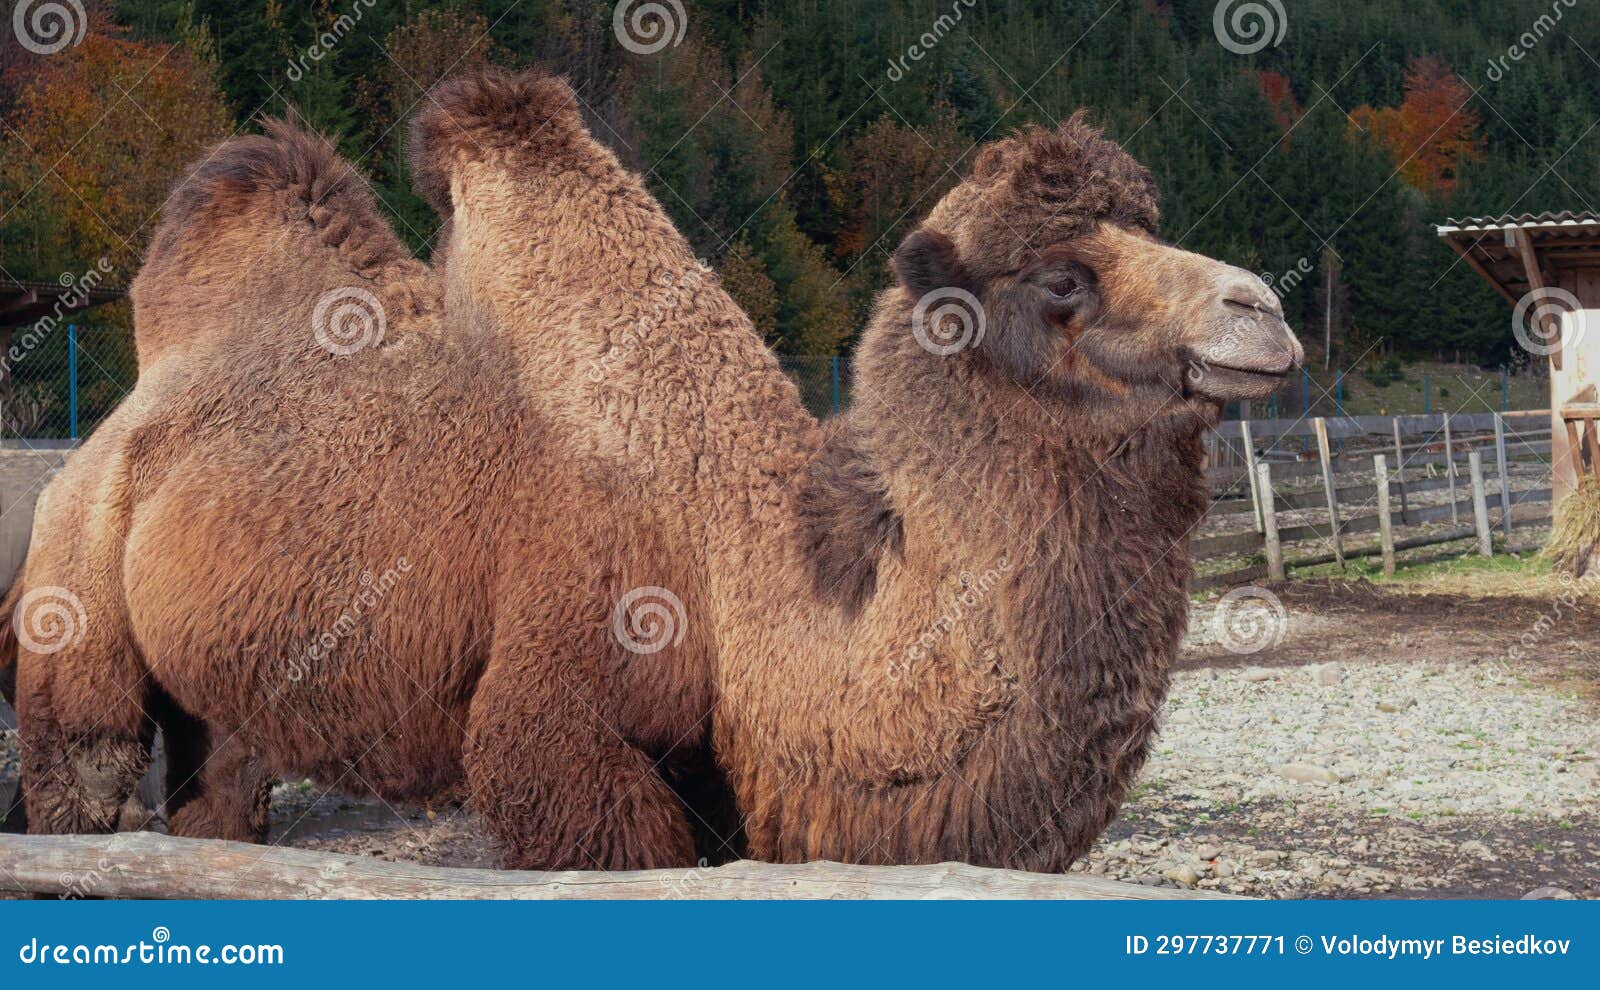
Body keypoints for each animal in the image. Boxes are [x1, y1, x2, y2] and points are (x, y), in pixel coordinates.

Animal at [7, 67, 1302, 873]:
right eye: (1061, 279)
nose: (1265, 310)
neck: (735, 563)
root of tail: (102, 437)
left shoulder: (717, 780)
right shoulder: (565, 734)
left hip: (217, 679)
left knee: (218, 797)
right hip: (76, 607)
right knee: (85, 778)